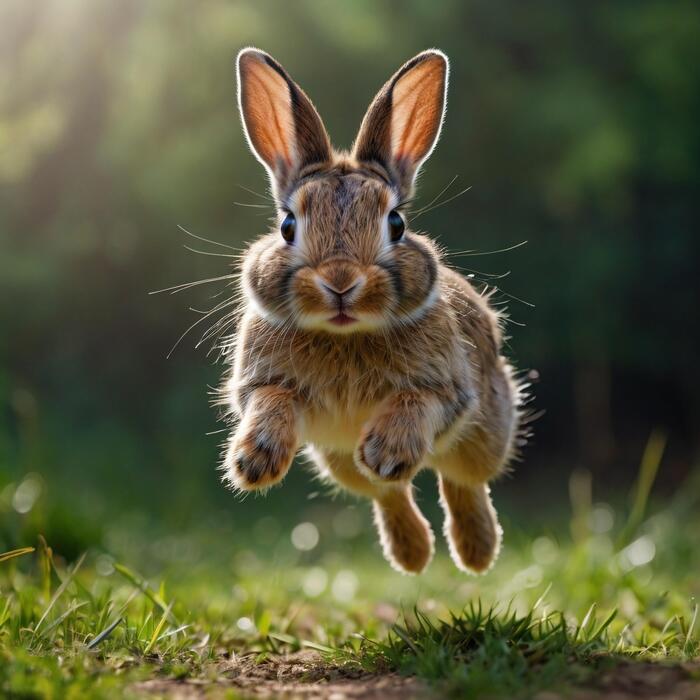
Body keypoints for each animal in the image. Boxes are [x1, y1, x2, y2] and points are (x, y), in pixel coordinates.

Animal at [219, 47, 524, 575]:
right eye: (287, 226)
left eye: (396, 223)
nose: (341, 282)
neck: (346, 335)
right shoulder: (263, 384)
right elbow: (269, 400)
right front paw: (253, 462)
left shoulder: (449, 388)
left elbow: (418, 401)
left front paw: (386, 449)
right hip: (337, 461)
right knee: (388, 493)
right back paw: (413, 555)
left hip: (487, 430)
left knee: (460, 482)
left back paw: (475, 553)